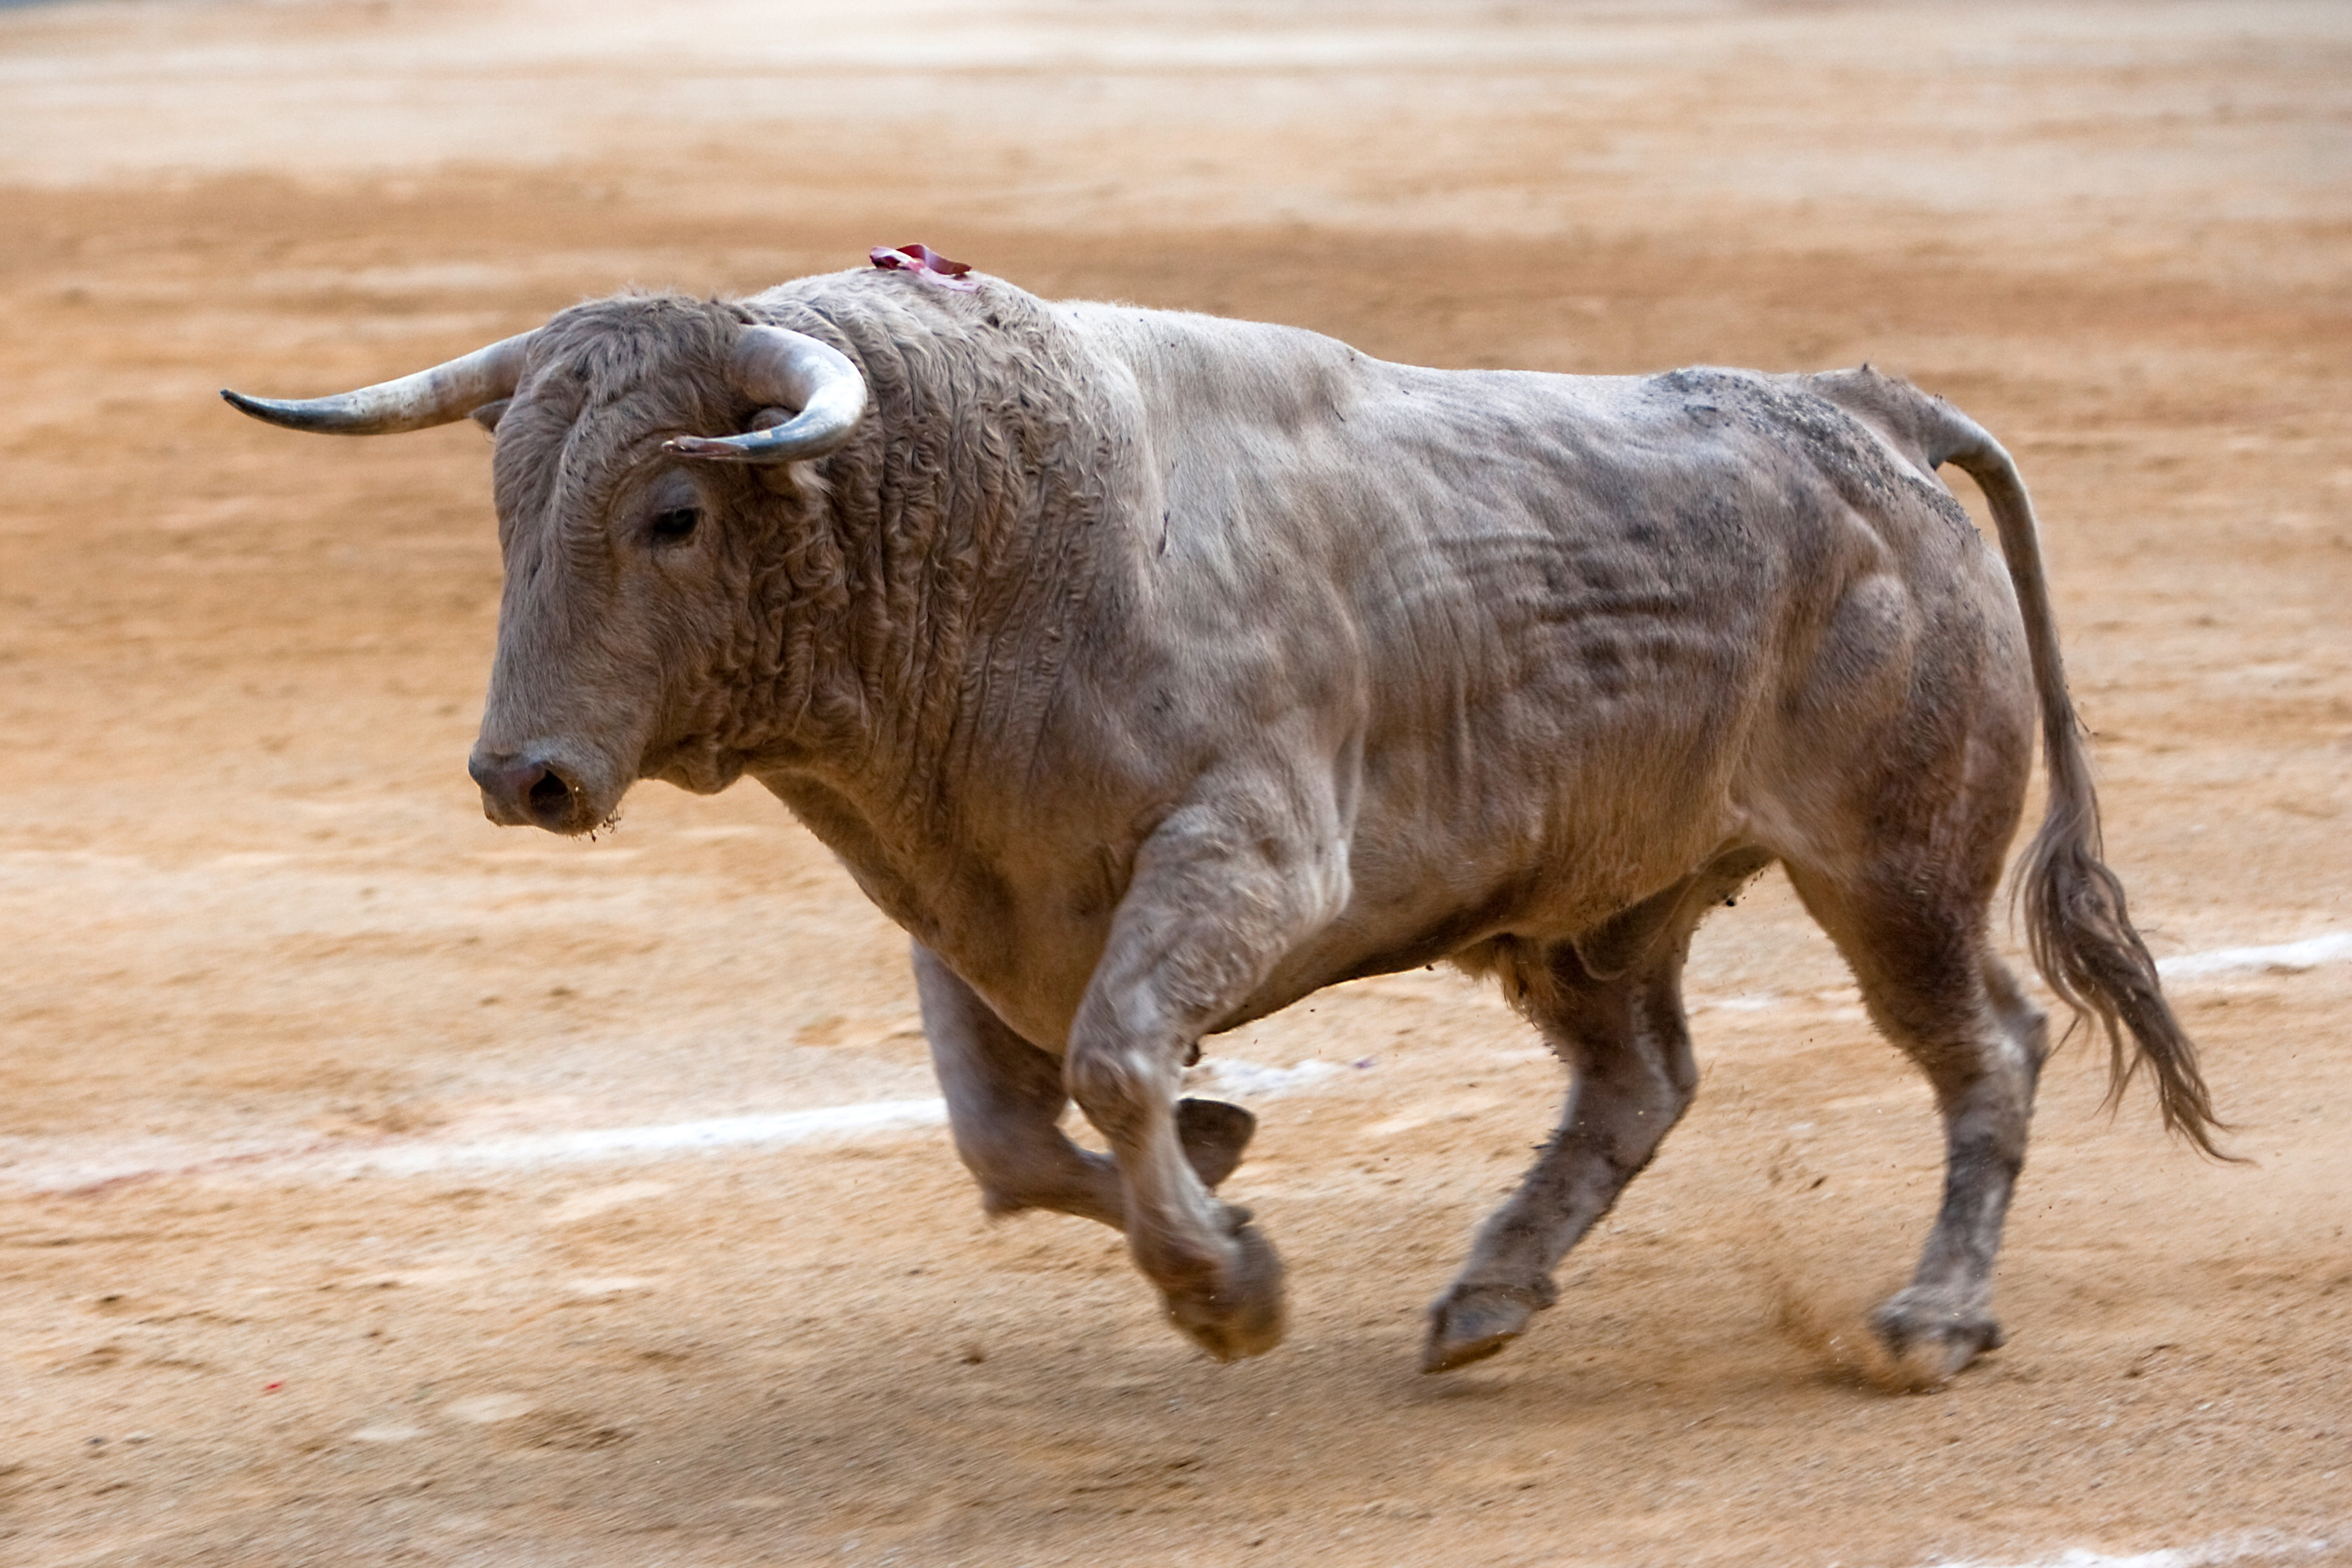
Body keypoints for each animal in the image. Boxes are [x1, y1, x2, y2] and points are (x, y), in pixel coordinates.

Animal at [222, 250, 2226, 1384]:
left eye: (669, 513)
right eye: (505, 501)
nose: (526, 774)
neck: (991, 536)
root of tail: (1859, 410)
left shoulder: (1248, 860)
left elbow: (1109, 1064)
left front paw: (1226, 1287)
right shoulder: (966, 910)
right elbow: (1007, 1139)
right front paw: (1225, 1164)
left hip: (1890, 863)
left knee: (1983, 1043)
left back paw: (1928, 1321)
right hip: (1588, 901)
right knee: (1639, 1078)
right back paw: (1485, 1296)